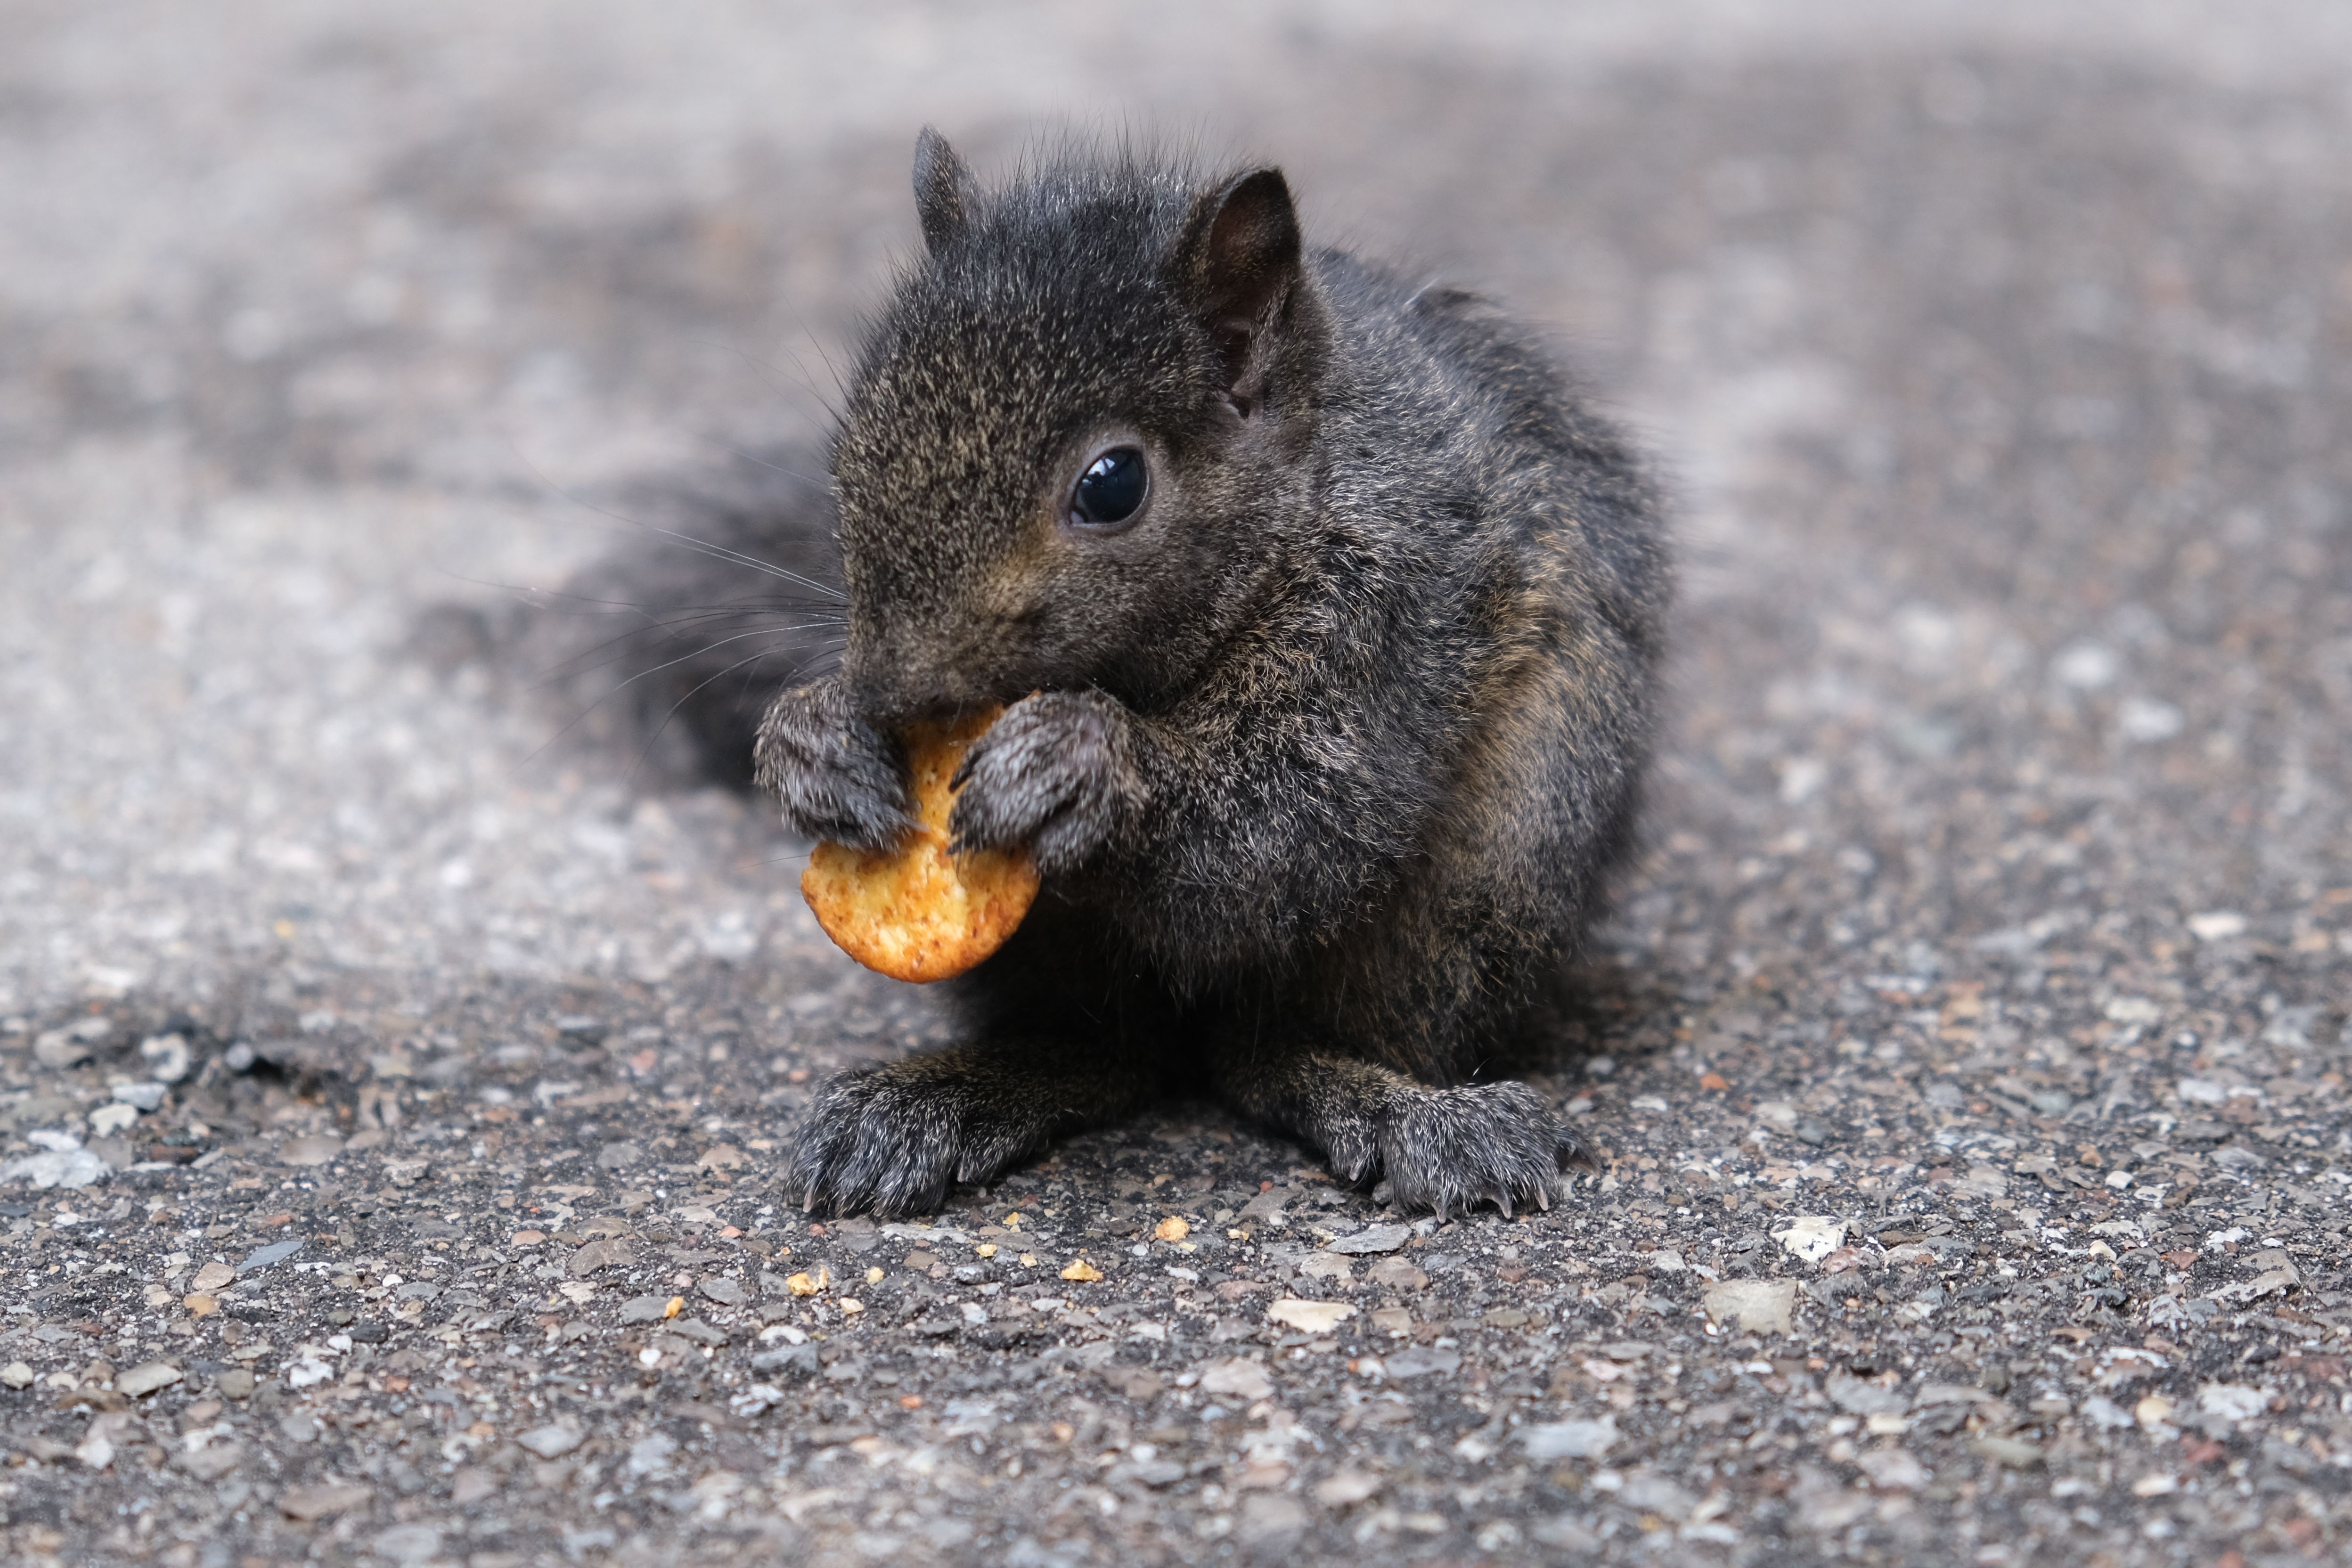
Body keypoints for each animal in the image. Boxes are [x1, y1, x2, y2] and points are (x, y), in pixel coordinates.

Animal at [726, 129, 1671, 1219]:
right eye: (852, 447)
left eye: (1113, 485)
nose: (890, 695)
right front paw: (814, 742)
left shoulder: (1388, 605)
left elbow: (1286, 820)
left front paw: (1083, 764)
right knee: (1108, 1050)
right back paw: (938, 1101)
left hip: (1494, 867)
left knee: (1271, 1050)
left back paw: (1411, 1112)